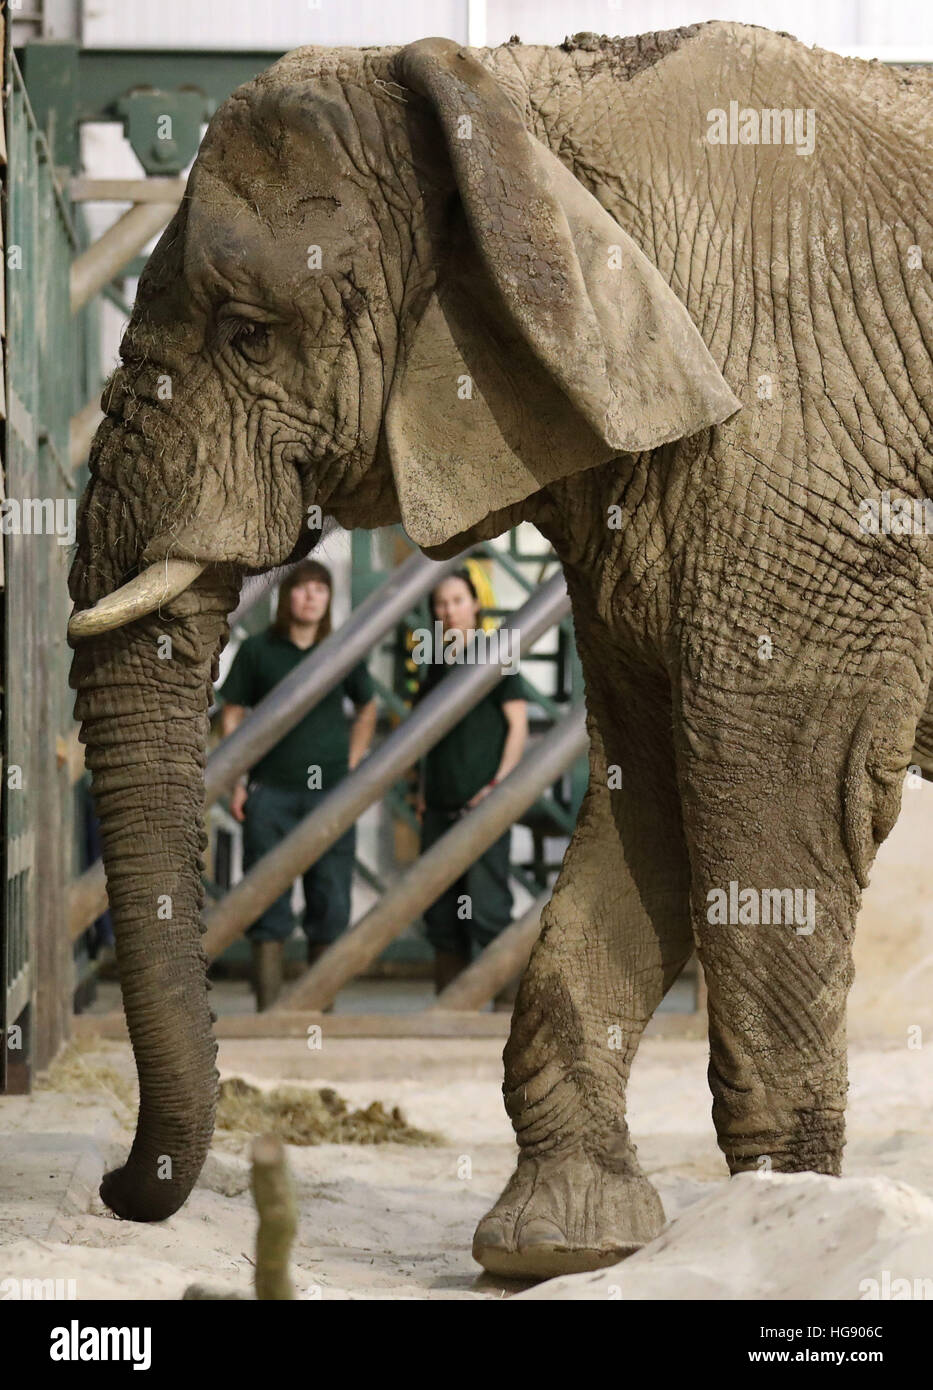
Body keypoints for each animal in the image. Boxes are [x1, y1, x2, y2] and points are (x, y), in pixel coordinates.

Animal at [66, 21, 933, 1279]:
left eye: (248, 336)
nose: (118, 1186)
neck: (524, 110)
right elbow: (647, 794)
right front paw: (560, 1248)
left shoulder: (805, 482)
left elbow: (772, 797)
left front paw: (779, 1222)